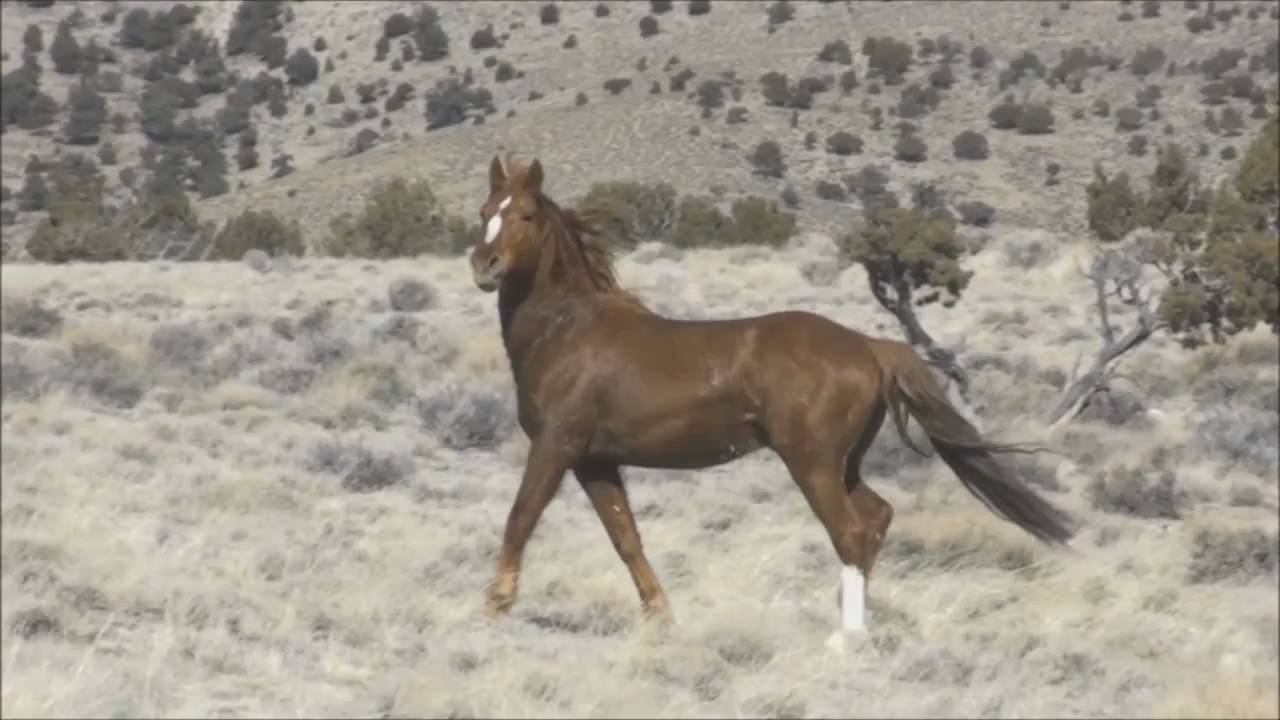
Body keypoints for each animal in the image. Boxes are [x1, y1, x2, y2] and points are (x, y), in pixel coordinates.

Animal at [466, 153, 1075, 638]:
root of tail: (870, 346)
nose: (484, 265)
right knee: (876, 517)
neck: (568, 331)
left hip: (811, 462)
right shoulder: (596, 460)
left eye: (524, 215)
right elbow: (627, 538)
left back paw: (846, 639)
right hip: (842, 463)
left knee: (850, 532)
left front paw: (493, 609)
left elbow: (520, 518)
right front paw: (661, 617)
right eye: (484, 211)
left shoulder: (556, 445)